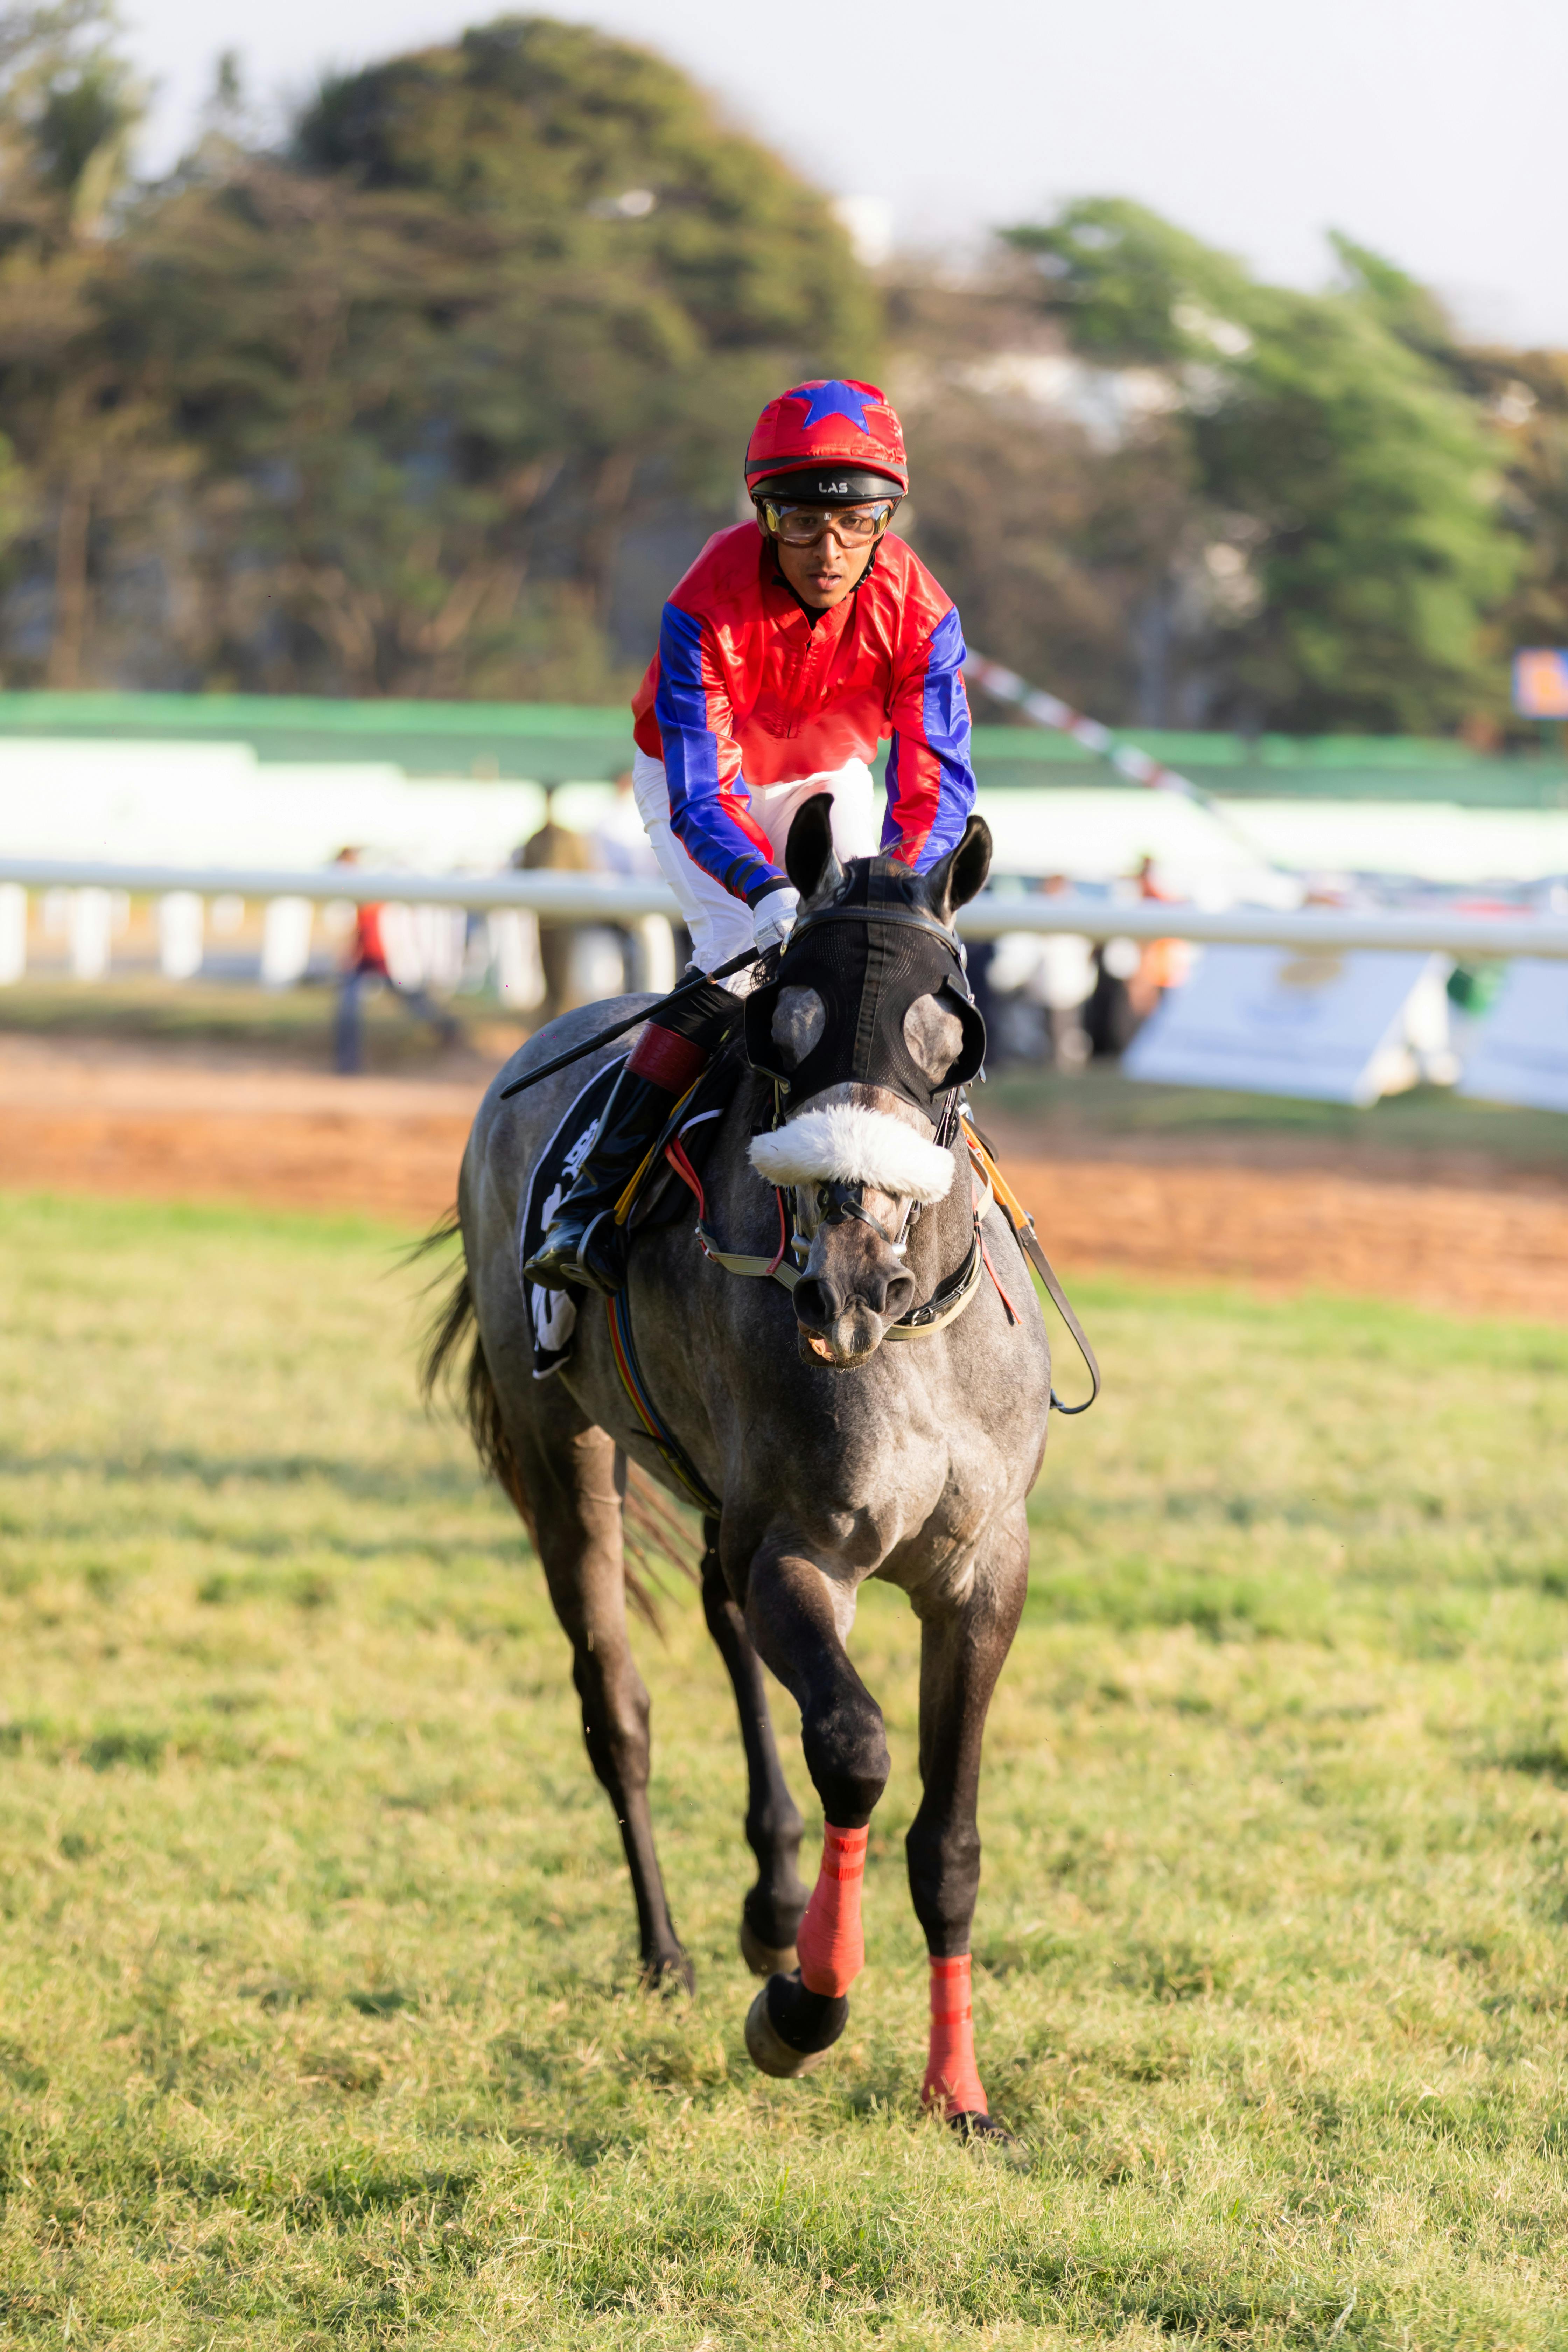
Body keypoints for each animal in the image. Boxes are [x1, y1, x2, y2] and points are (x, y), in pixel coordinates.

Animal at [425, 797, 1055, 2136]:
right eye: (789, 1032)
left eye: (950, 1042)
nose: (849, 1281)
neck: (909, 1343)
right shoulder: (802, 1549)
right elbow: (856, 1748)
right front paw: (806, 2006)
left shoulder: (982, 1572)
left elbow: (949, 1840)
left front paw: (956, 2088)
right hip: (564, 1442)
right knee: (615, 1702)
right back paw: (670, 1948)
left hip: (710, 1488)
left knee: (721, 1626)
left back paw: (769, 1902)